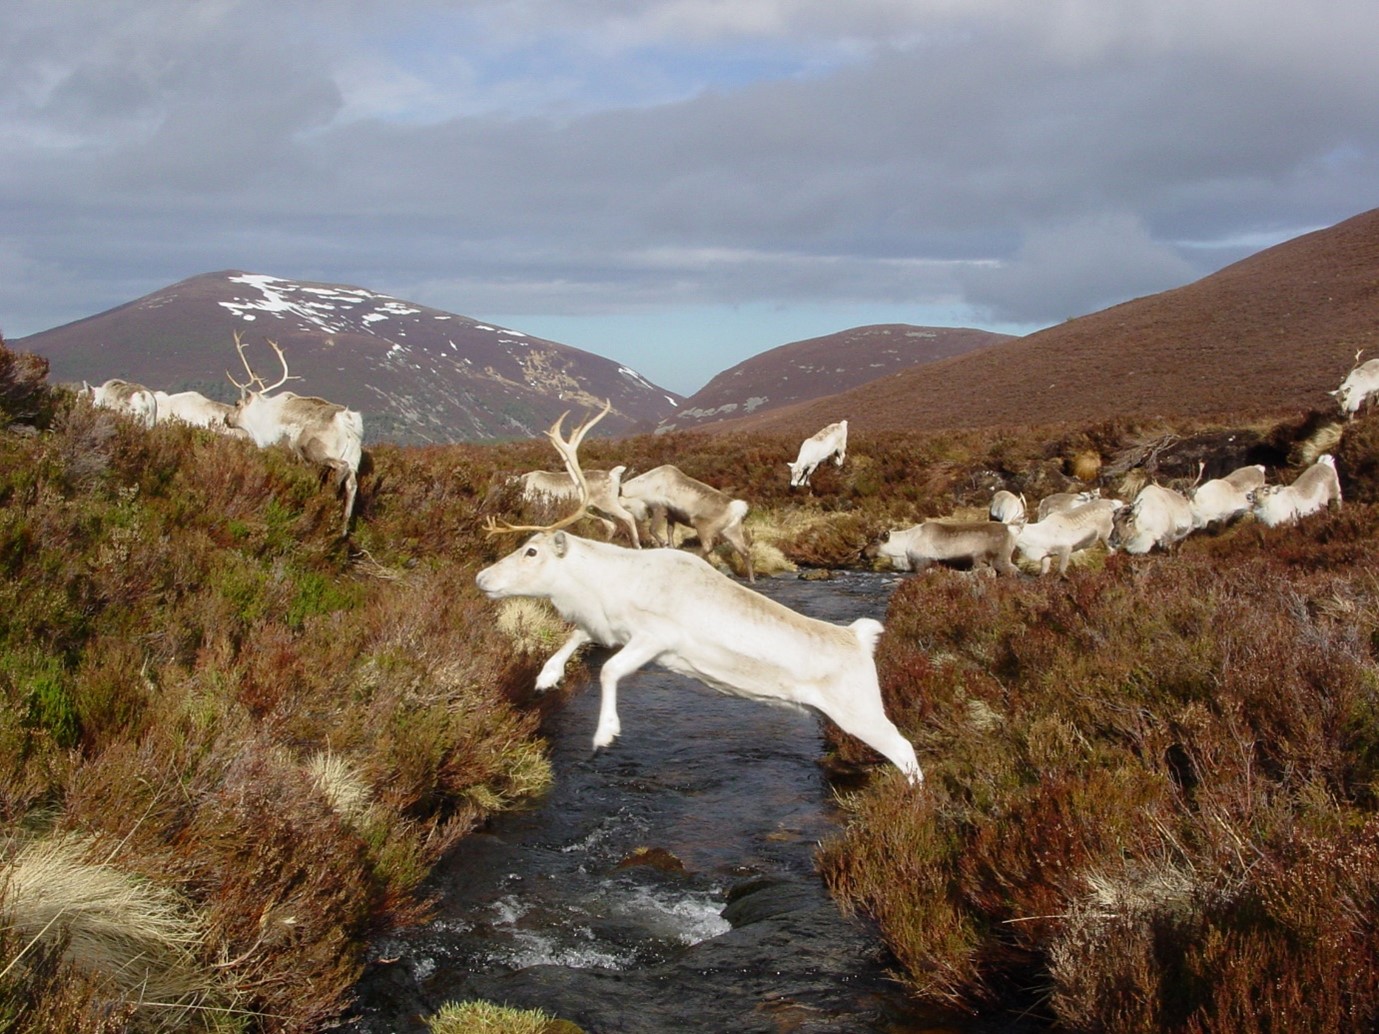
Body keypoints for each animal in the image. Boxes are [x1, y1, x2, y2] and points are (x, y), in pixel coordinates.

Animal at [225, 332, 364, 538]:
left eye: (236, 403)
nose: (226, 418)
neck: (259, 419)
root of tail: (347, 422)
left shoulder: (274, 446)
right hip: (354, 460)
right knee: (352, 485)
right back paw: (343, 529)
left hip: (315, 450)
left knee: (341, 467)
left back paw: (327, 498)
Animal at [475, 402, 922, 785]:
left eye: (531, 551)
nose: (482, 578)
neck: (609, 584)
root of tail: (861, 638)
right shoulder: (610, 628)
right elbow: (576, 635)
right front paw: (545, 677)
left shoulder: (655, 637)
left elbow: (609, 670)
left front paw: (605, 734)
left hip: (860, 710)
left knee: (905, 749)